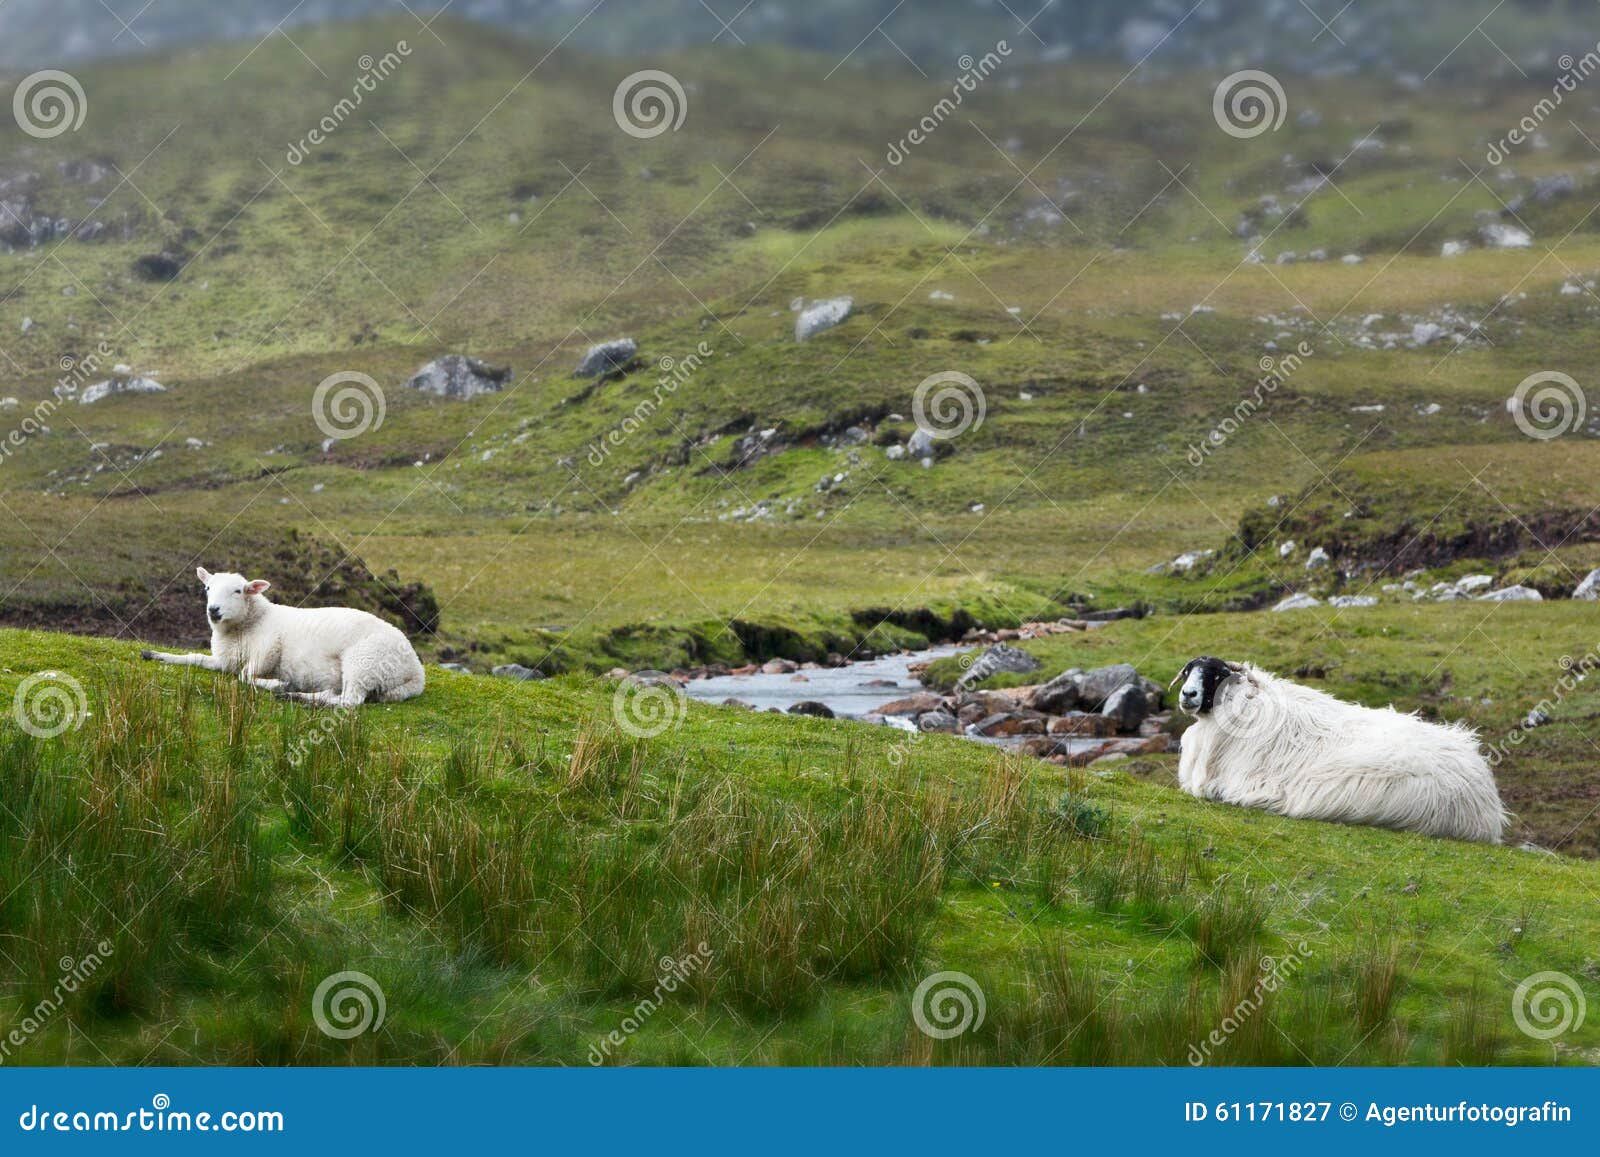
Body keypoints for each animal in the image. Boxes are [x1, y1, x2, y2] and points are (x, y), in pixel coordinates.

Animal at [141, 567, 425, 707]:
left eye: (238, 591)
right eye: (207, 588)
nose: (214, 610)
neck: (249, 624)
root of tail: (416, 672)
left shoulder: (268, 649)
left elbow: (245, 677)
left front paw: (278, 684)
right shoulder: (225, 660)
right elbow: (195, 658)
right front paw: (155, 654)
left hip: (364, 662)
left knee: (350, 701)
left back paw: (297, 697)